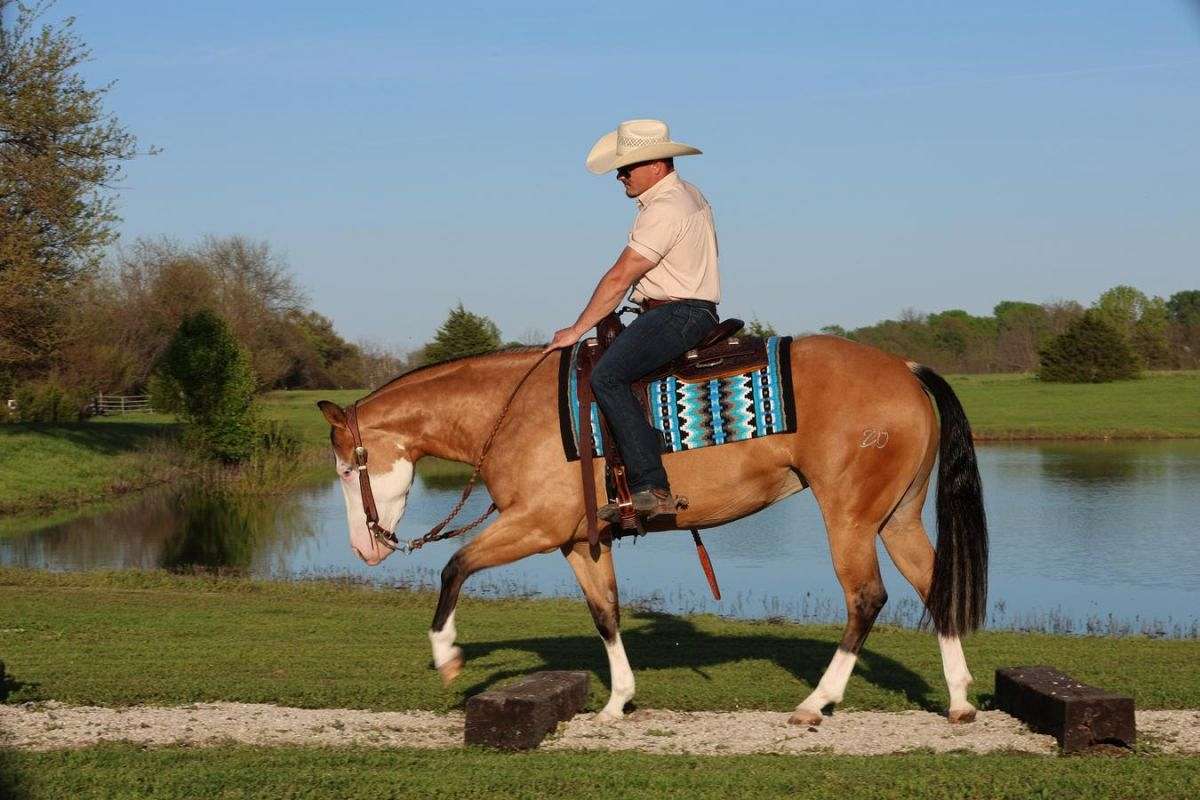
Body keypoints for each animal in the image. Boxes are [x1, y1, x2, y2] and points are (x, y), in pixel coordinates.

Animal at [317, 333, 988, 725]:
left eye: (349, 468)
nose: (363, 547)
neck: (512, 412)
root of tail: (904, 369)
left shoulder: (534, 525)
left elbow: (454, 565)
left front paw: (448, 656)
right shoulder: (577, 541)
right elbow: (606, 612)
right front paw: (617, 700)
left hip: (849, 516)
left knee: (865, 598)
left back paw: (816, 702)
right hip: (896, 516)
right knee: (935, 585)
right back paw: (958, 700)